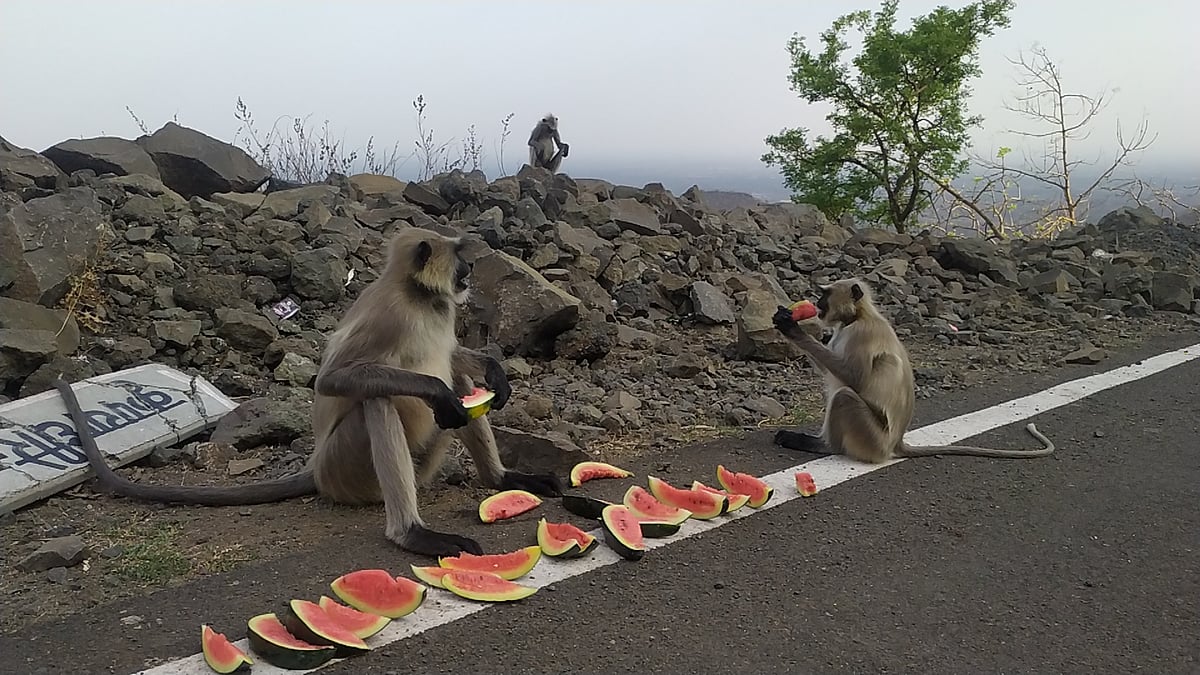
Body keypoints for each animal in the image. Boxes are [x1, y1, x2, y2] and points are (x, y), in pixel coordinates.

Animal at [52, 227, 565, 558]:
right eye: (459, 258)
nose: (470, 271)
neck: (421, 297)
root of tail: (317, 469)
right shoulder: (388, 314)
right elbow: (335, 380)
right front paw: (436, 391)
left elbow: (455, 359)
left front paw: (493, 371)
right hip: (346, 466)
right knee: (379, 399)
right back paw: (410, 533)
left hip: (423, 461)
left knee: (456, 388)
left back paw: (501, 480)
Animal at [769, 278, 1055, 463]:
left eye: (825, 295)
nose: (817, 302)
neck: (858, 317)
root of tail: (896, 443)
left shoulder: (862, 334)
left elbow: (854, 379)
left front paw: (792, 328)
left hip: (872, 438)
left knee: (845, 396)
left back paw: (824, 446)